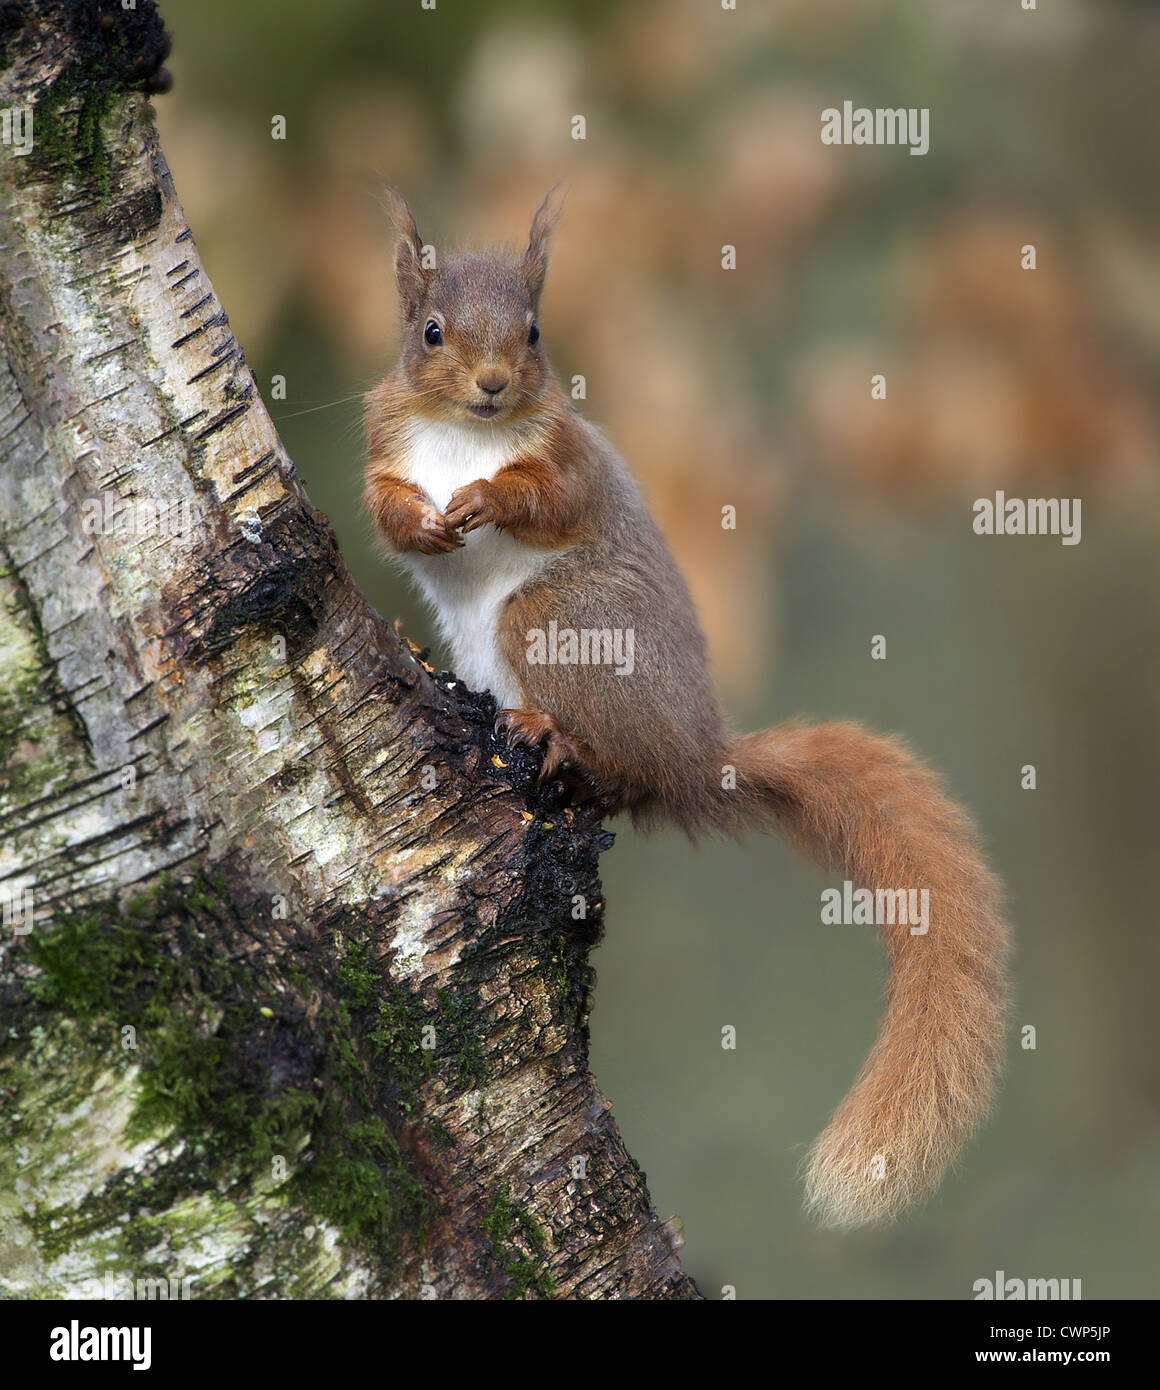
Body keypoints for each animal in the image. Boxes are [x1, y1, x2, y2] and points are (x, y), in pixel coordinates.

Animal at [363, 189, 1010, 1230]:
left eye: (535, 332)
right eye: (430, 331)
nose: (494, 387)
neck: (463, 436)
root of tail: (696, 752)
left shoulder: (571, 459)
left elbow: (549, 496)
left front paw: (486, 496)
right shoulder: (386, 441)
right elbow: (386, 507)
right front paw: (426, 521)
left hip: (560, 622)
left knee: (614, 756)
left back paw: (550, 731)